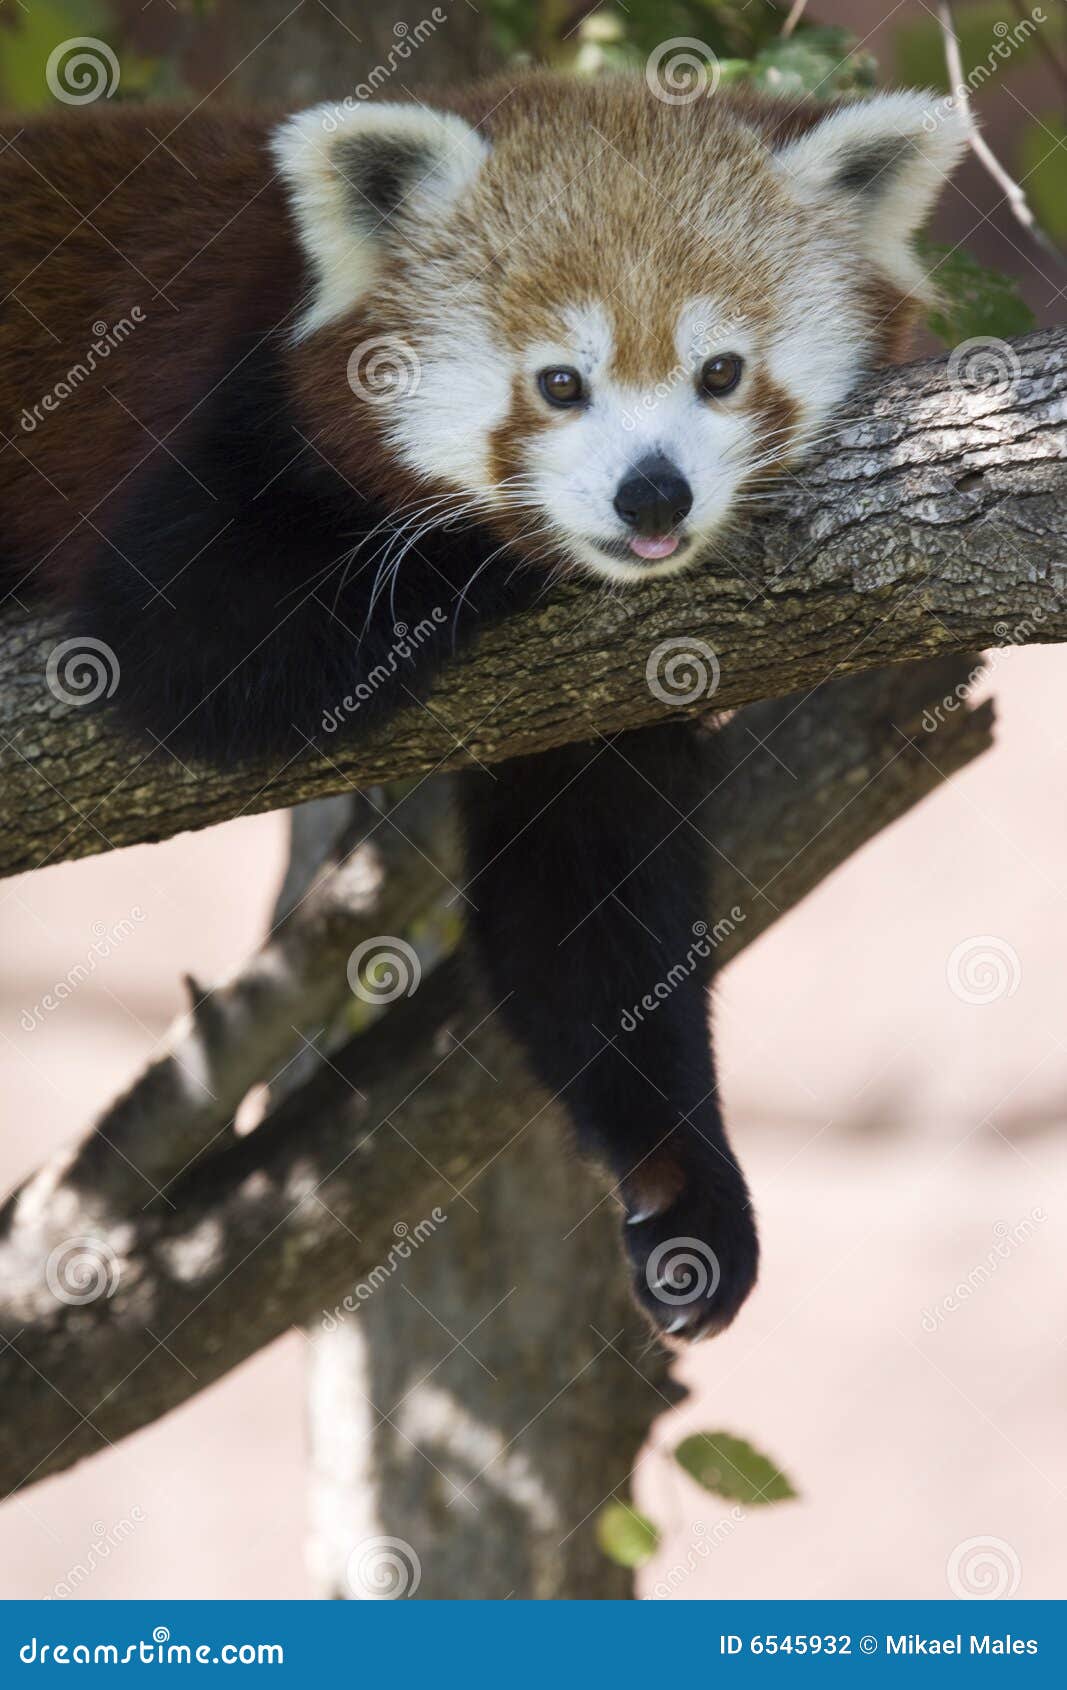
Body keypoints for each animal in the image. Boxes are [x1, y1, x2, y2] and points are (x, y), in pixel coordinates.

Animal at [0, 72, 966, 1339]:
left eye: (719, 372)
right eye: (560, 383)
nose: (651, 494)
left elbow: (586, 903)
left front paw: (685, 1188)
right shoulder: (215, 405)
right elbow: (184, 639)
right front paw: (485, 558)